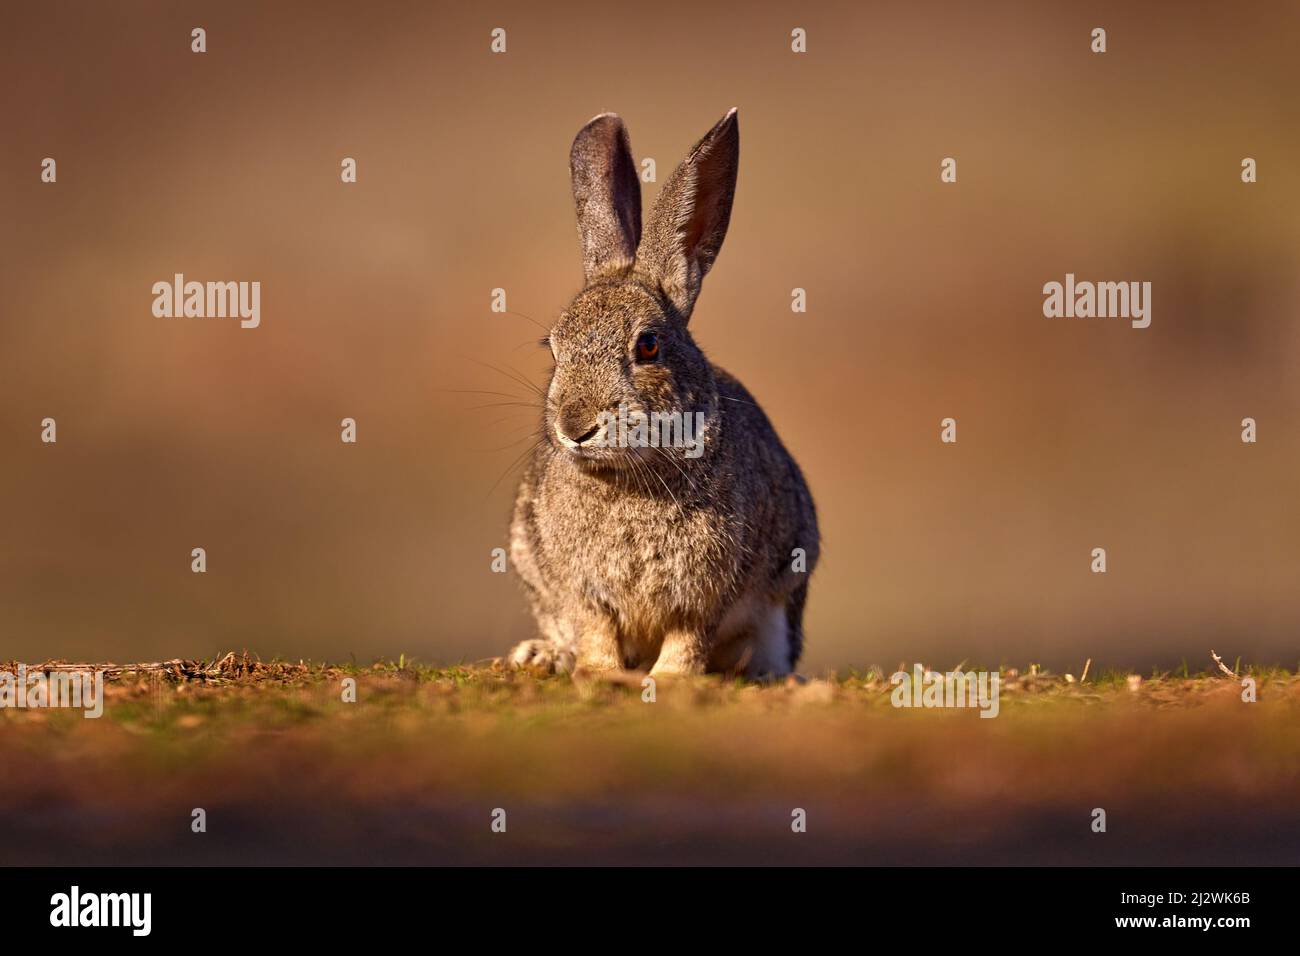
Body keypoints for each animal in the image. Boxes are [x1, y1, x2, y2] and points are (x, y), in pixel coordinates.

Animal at [506, 108, 819, 679]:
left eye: (648, 346)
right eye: (554, 348)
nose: (575, 427)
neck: (624, 478)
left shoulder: (708, 593)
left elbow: (688, 636)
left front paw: (671, 678)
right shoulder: (579, 590)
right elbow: (595, 628)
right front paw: (598, 671)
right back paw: (542, 655)